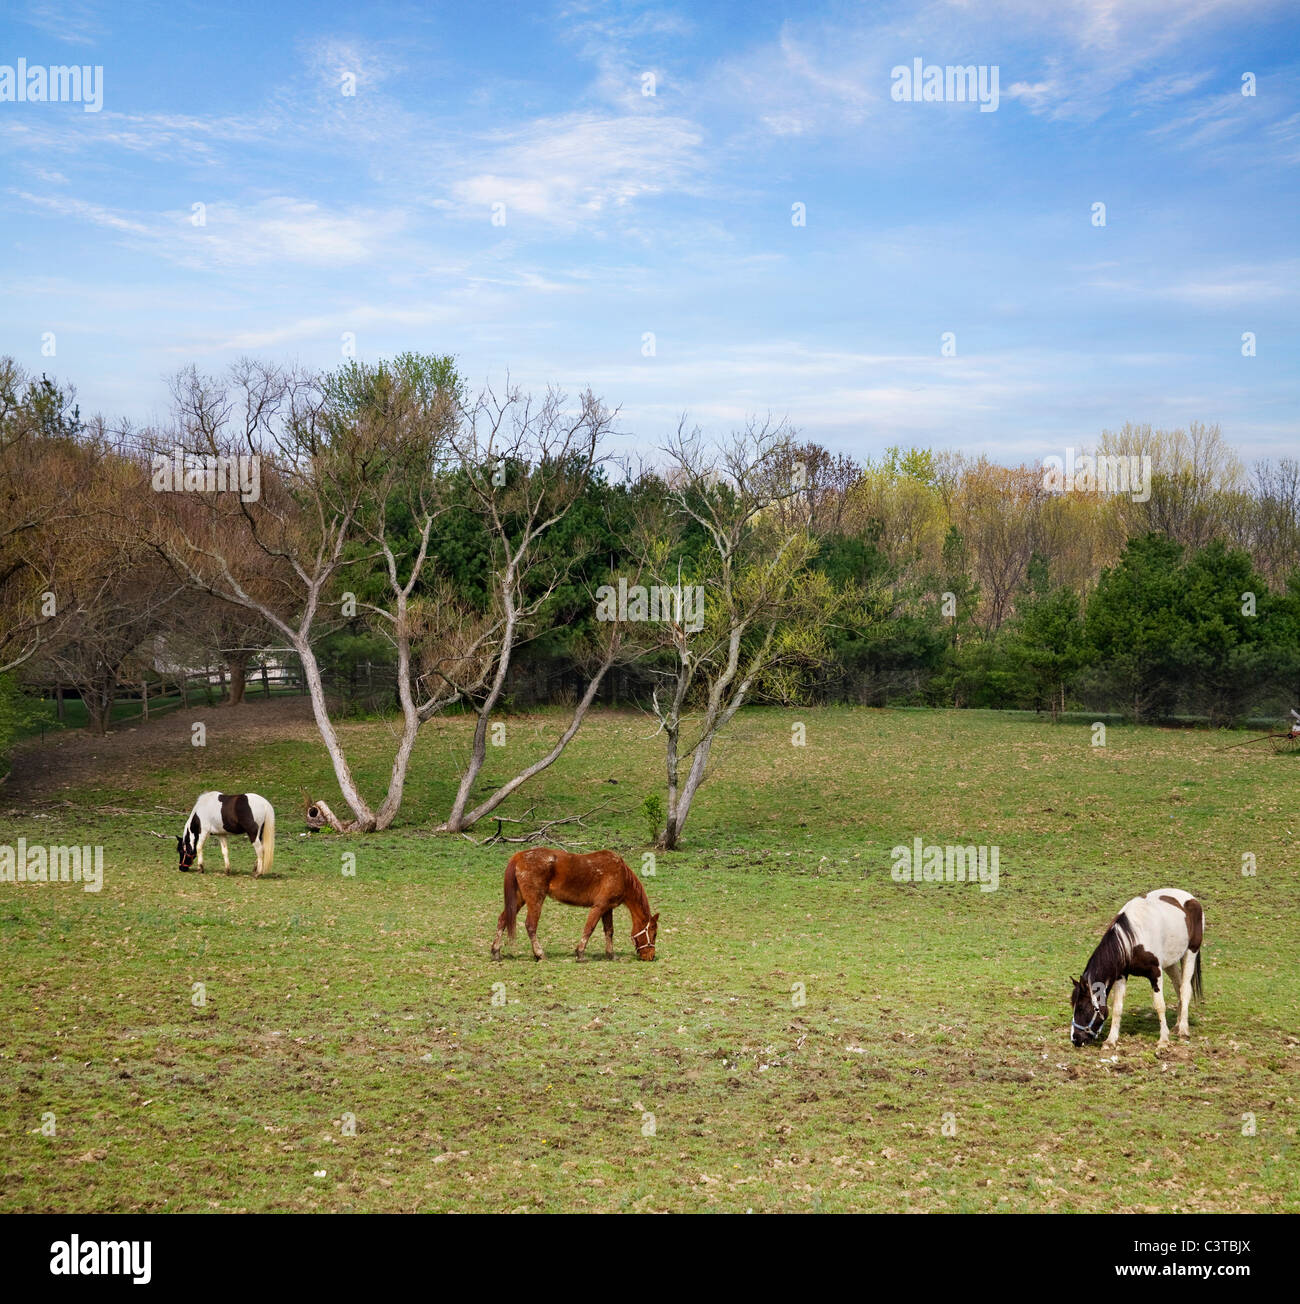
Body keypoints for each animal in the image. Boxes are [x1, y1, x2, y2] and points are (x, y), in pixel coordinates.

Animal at [491, 847, 659, 962]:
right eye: (654, 933)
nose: (650, 956)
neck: (621, 874)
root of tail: (519, 856)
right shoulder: (599, 907)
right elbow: (589, 929)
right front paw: (580, 953)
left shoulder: (607, 909)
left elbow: (609, 931)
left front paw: (611, 954)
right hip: (535, 900)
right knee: (530, 925)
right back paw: (539, 954)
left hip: (519, 900)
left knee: (502, 920)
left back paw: (496, 951)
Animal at [1070, 888, 1204, 1048]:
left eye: (1082, 1008)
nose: (1075, 1039)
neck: (1133, 939)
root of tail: (1192, 899)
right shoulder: (1121, 975)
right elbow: (1117, 1007)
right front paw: (1111, 1040)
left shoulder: (1156, 973)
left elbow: (1160, 1005)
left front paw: (1163, 1039)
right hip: (1170, 962)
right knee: (1179, 986)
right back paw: (1177, 1025)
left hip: (1190, 953)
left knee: (1185, 990)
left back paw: (1183, 1030)